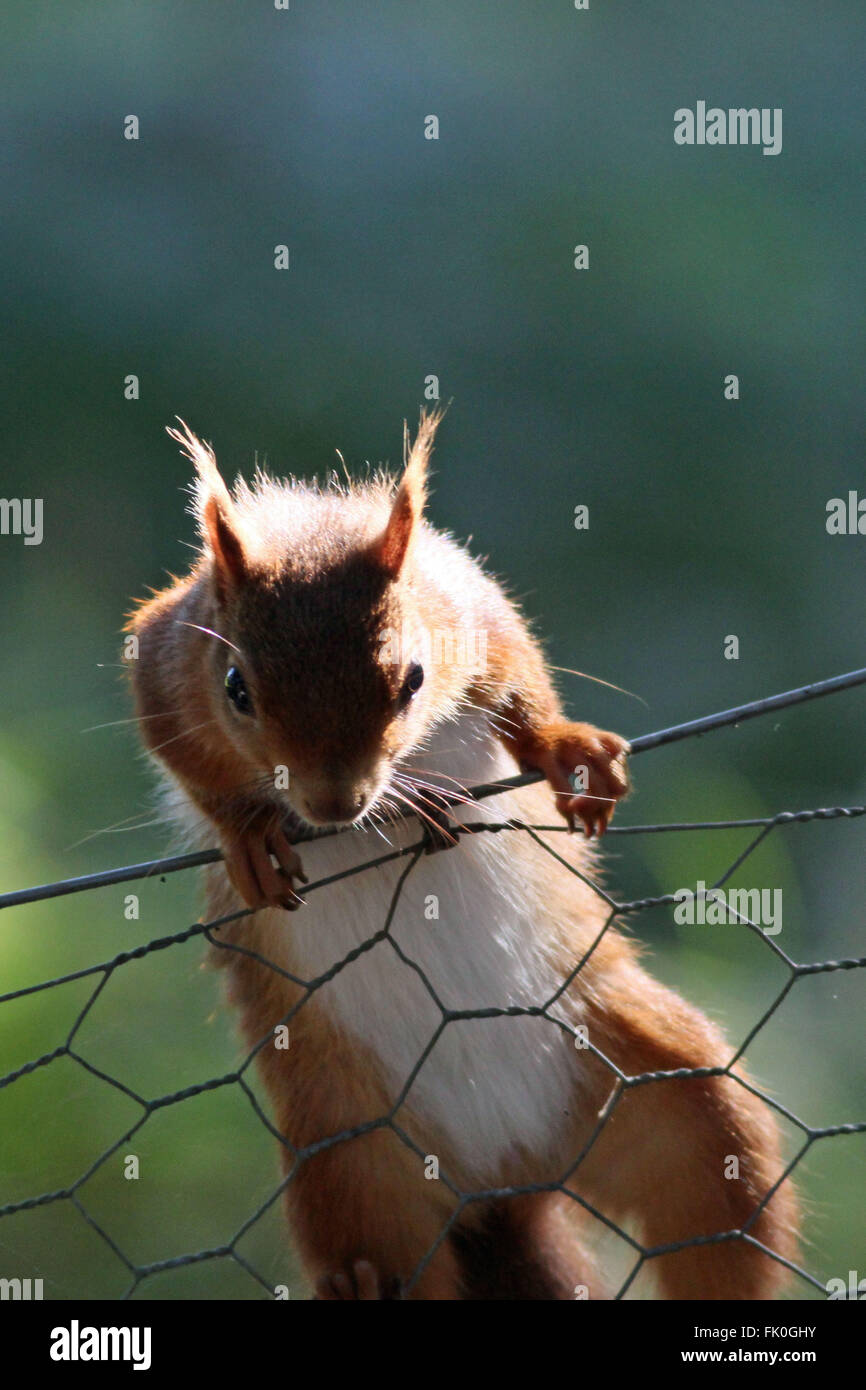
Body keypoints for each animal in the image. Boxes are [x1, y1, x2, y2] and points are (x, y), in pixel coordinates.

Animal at [126, 409, 797, 1300]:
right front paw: (248, 836)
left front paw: (563, 748)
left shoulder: (469, 608)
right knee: (389, 1253)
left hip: (677, 1099)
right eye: (236, 688)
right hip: (355, 1171)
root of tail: (507, 1181)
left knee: (722, 1221)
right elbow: (187, 760)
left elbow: (519, 675)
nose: (334, 804)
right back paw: (364, 1286)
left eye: (413, 678)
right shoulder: (164, 663)